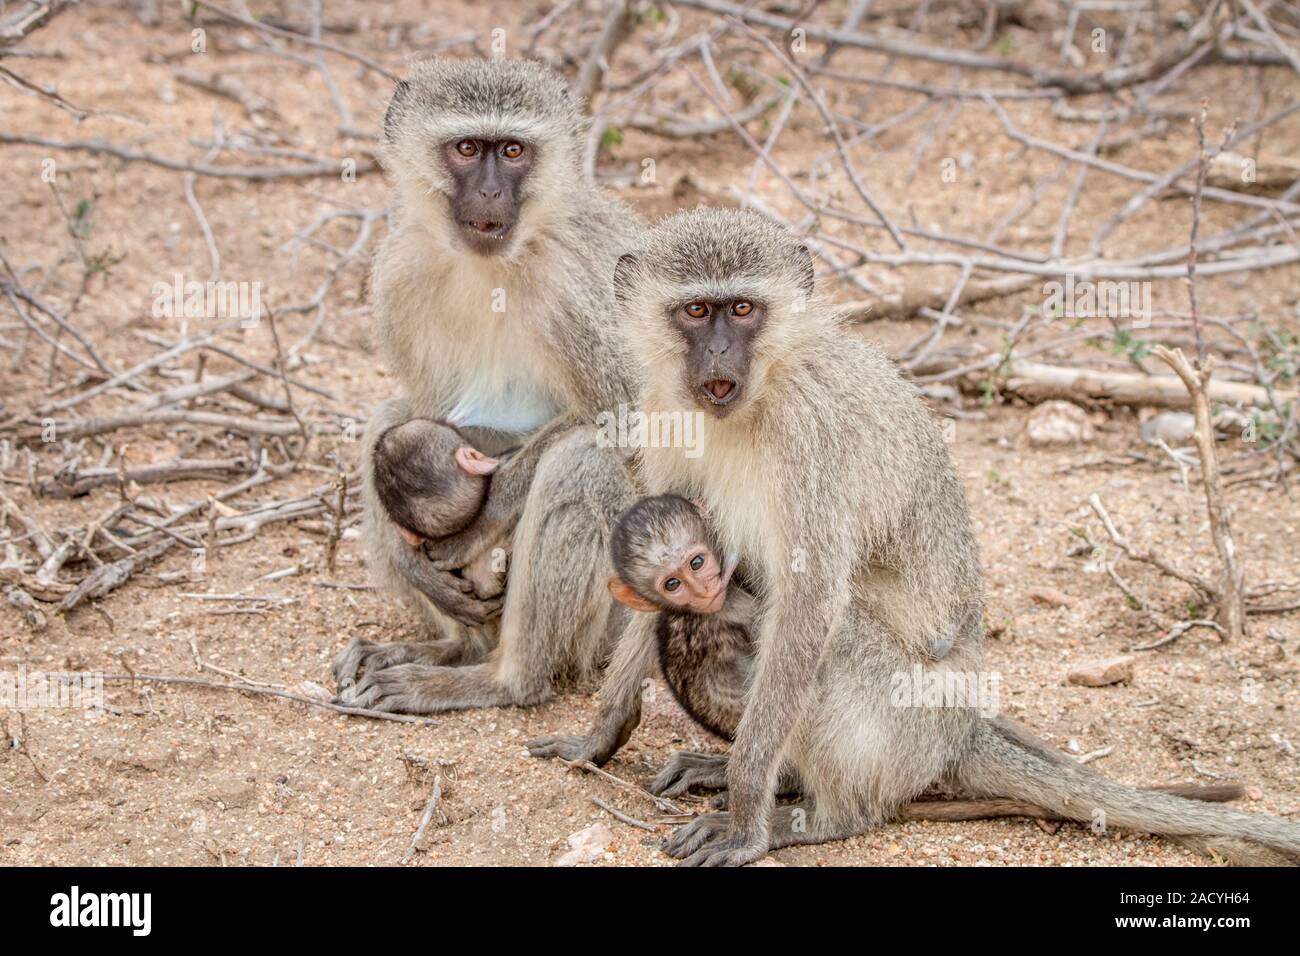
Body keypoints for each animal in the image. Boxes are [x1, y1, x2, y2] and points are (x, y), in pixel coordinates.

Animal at [529, 207, 1300, 866]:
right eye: (696, 311)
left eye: (743, 309)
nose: (719, 351)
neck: (757, 395)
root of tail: (957, 731)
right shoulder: (662, 409)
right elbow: (653, 572)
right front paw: (601, 734)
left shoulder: (811, 434)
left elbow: (811, 602)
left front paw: (746, 813)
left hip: (907, 725)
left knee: (822, 640)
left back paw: (815, 813)